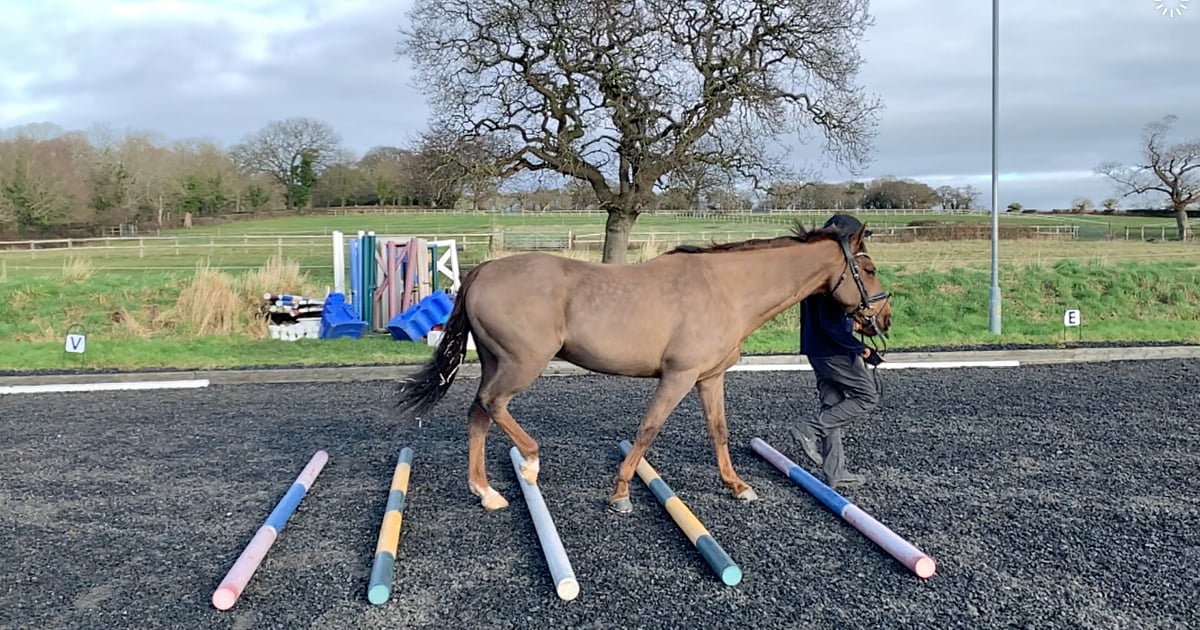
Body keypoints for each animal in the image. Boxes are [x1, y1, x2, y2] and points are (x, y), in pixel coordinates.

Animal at [393, 220, 892, 514]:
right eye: (867, 270)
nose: (883, 318)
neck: (725, 288)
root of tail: (483, 270)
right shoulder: (678, 376)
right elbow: (649, 428)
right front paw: (620, 493)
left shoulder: (709, 378)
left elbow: (719, 430)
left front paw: (736, 485)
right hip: (521, 364)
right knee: (493, 405)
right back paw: (530, 462)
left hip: (497, 362)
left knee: (478, 413)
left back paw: (486, 491)